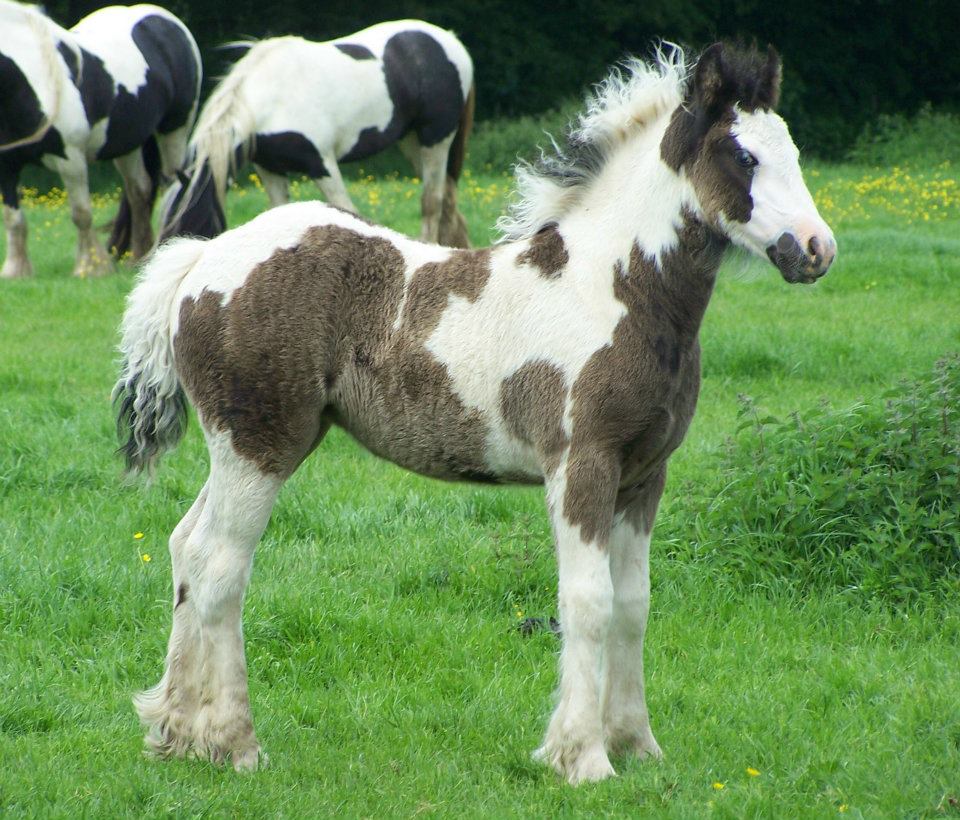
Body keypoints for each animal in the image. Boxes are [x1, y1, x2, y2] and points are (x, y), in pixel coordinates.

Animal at [0, 1, 201, 278]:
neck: (31, 80)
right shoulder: (6, 165)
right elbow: (13, 219)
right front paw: (15, 270)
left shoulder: (70, 159)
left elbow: (81, 213)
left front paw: (91, 267)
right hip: (127, 145)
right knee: (139, 191)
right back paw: (138, 258)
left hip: (176, 131)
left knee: (172, 187)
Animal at [159, 19, 474, 248]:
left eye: (185, 227)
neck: (270, 99)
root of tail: (451, 41)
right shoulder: (270, 169)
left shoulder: (322, 164)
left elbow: (345, 209)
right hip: (411, 140)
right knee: (447, 199)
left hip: (436, 137)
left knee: (432, 201)